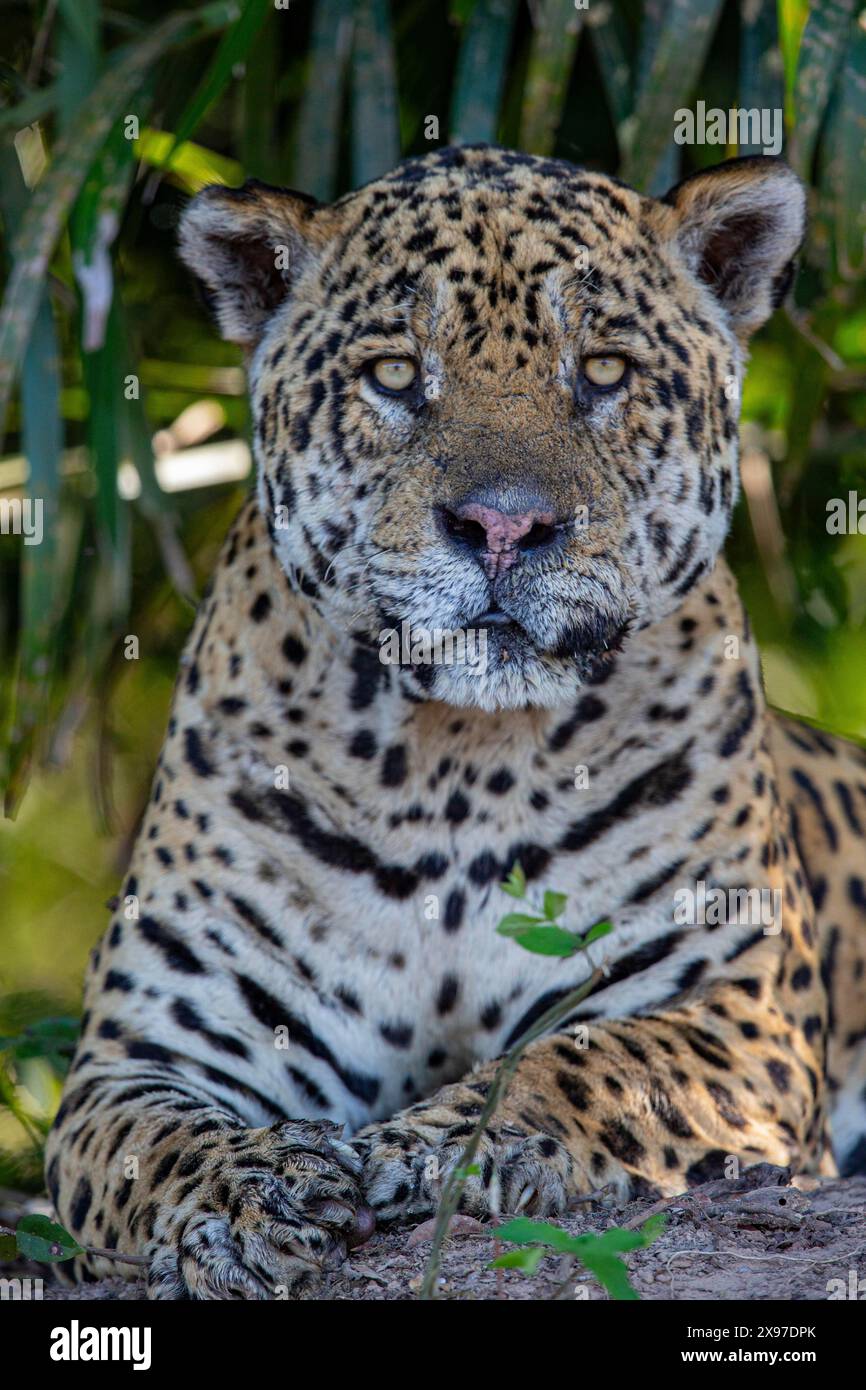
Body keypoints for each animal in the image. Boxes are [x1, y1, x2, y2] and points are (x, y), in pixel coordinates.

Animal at [45, 145, 866, 1300]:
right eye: (395, 374)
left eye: (602, 371)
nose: (503, 525)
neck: (455, 762)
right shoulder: (144, 1051)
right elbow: (154, 1141)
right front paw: (257, 1192)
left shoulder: (736, 1009)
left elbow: (584, 1061)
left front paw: (436, 1146)